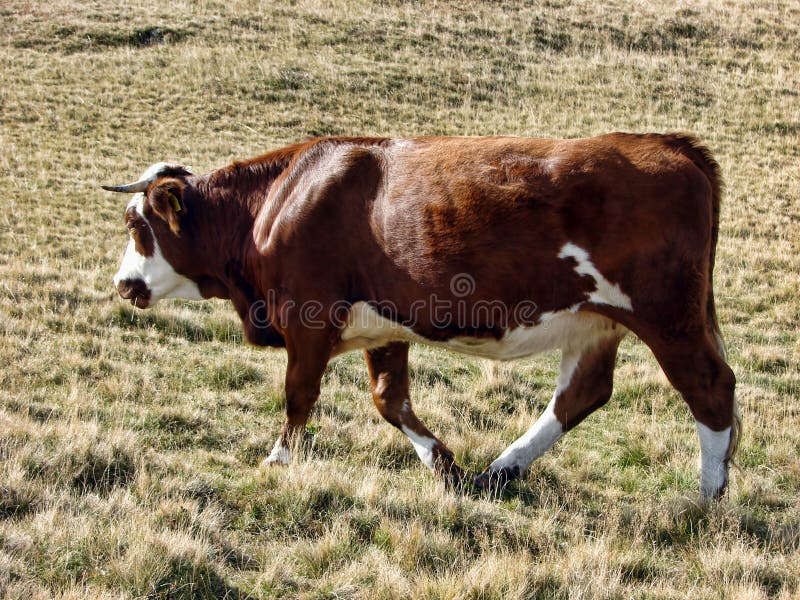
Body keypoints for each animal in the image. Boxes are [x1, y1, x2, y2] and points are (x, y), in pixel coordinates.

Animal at [104, 133, 740, 498]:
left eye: (137, 224)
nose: (123, 284)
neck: (278, 202)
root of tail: (671, 144)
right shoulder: (382, 328)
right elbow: (391, 401)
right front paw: (445, 466)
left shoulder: (308, 318)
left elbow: (298, 395)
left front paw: (278, 459)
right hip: (597, 322)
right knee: (581, 394)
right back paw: (500, 470)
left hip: (668, 316)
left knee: (711, 389)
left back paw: (706, 499)